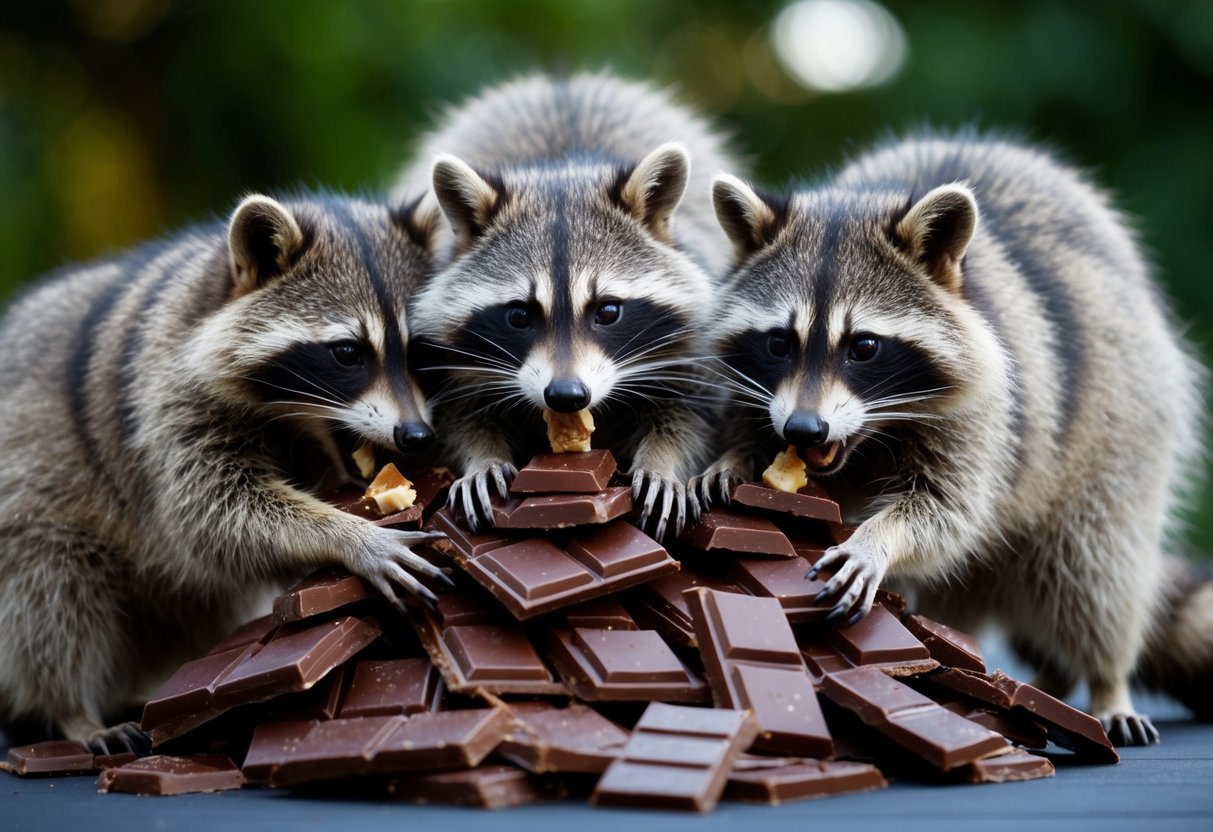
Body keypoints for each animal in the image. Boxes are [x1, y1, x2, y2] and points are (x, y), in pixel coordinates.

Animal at [0, 192, 449, 753]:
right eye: (347, 353)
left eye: (421, 350)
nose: (417, 436)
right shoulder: (163, 401)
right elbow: (211, 513)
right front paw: (351, 536)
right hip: (33, 493)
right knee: (51, 593)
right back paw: (72, 709)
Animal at [395, 73, 738, 539]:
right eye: (519, 315)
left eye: (608, 311)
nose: (566, 395)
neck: (561, 169)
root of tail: (563, 83)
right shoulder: (448, 351)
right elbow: (459, 416)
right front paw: (481, 458)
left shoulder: (693, 344)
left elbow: (691, 415)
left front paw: (663, 463)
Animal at [694, 134, 1208, 745]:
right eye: (778, 343)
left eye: (863, 346)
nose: (804, 429)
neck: (865, 440)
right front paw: (736, 457)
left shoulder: (987, 415)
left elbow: (947, 509)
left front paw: (878, 538)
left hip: (1123, 425)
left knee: (1095, 571)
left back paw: (1106, 682)